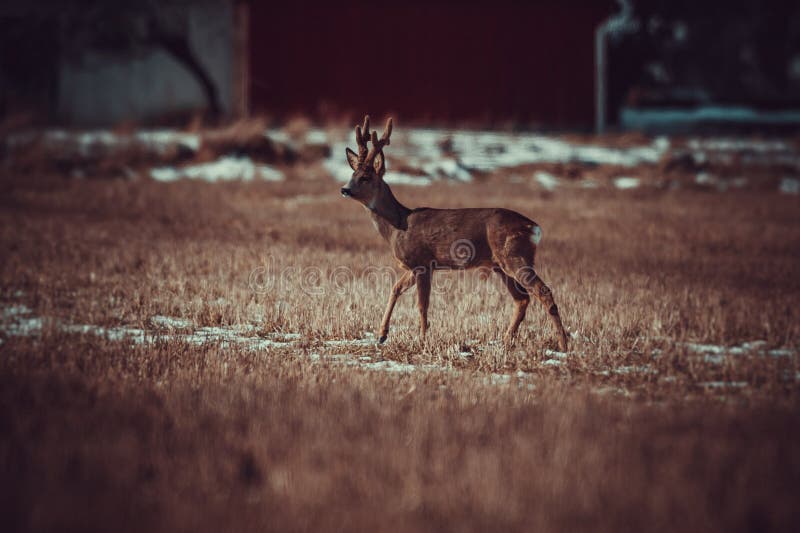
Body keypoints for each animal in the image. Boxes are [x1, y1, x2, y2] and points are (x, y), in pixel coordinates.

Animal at [340, 116, 569, 352]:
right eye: (352, 174)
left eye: (366, 177)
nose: (344, 189)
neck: (397, 226)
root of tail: (535, 228)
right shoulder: (415, 266)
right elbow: (395, 288)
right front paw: (381, 335)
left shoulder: (422, 262)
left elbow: (422, 304)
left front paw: (422, 340)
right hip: (501, 265)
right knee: (522, 298)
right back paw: (506, 340)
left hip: (515, 256)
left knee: (543, 291)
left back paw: (563, 344)